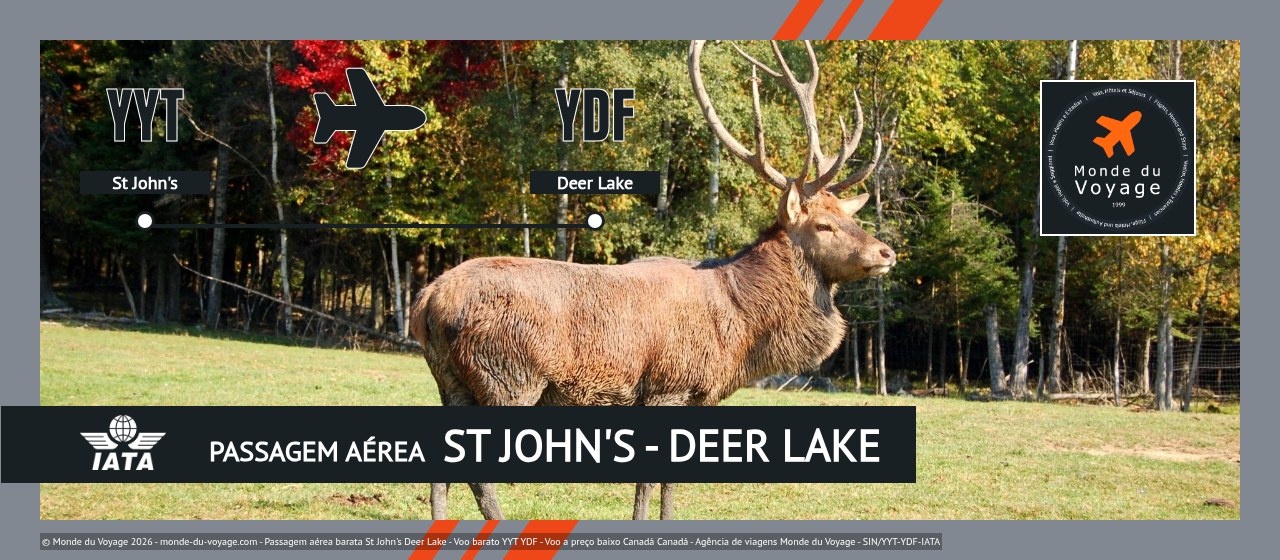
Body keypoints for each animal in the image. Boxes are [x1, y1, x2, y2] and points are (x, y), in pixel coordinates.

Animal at [409, 39, 894, 521]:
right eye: (824, 226)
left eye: (849, 217)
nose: (886, 252)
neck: (738, 328)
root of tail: (427, 301)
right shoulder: (667, 385)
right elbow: (648, 482)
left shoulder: (692, 397)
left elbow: (670, 481)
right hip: (509, 376)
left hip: (451, 381)